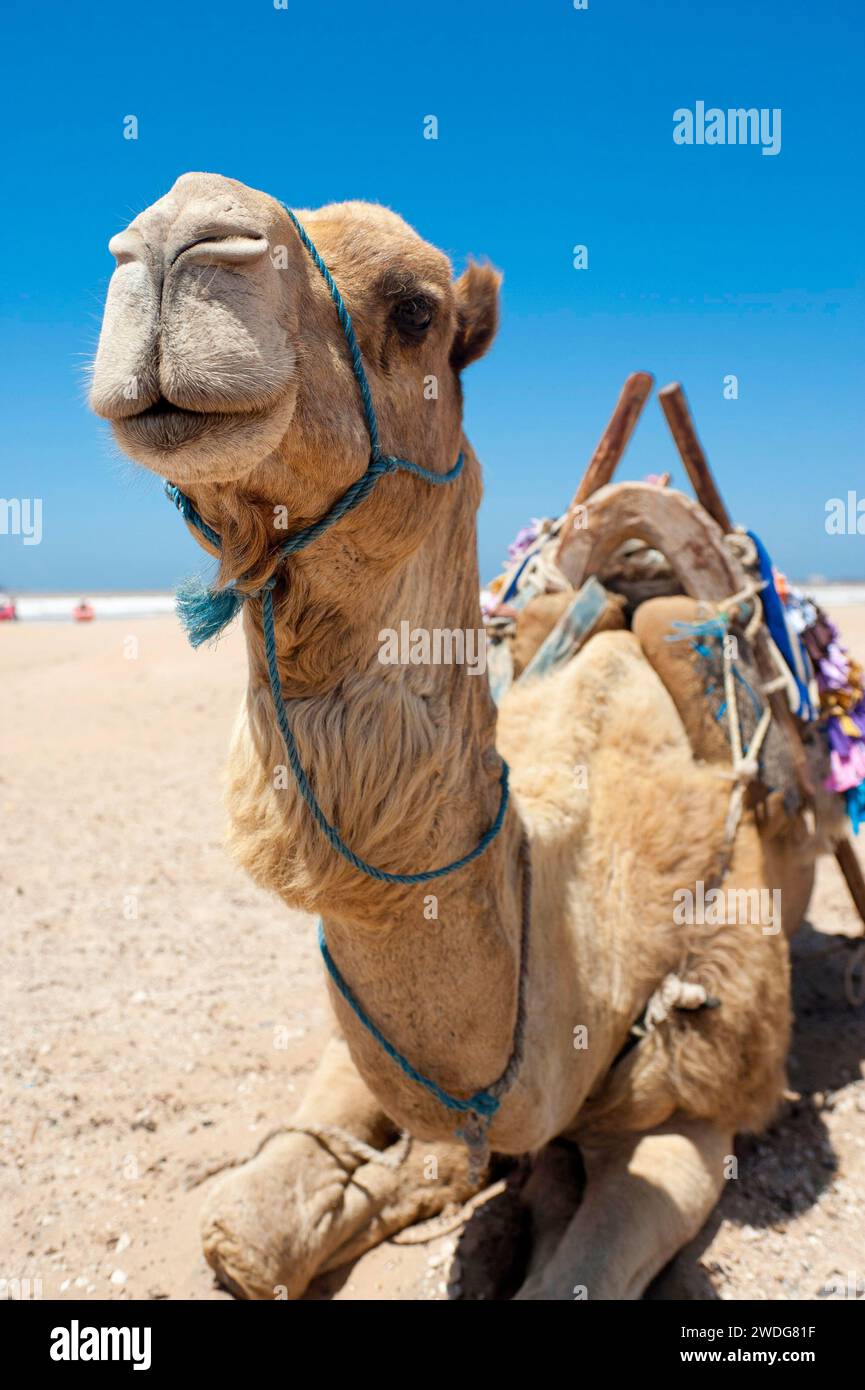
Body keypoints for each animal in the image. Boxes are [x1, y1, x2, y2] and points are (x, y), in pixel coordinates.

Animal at [90, 172, 834, 1300]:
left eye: (415, 310)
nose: (176, 234)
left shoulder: (699, 1106)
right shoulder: (356, 1049)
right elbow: (241, 1232)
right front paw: (415, 1190)